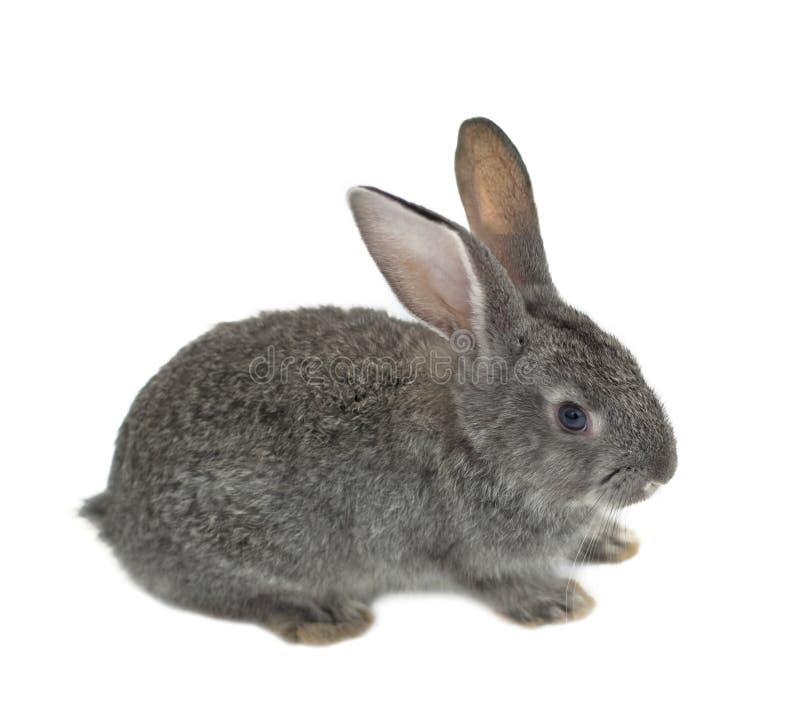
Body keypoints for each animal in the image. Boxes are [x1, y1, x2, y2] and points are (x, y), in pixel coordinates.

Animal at [82, 117, 676, 645]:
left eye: (631, 361)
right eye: (572, 416)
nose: (663, 474)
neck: (477, 442)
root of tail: (119, 510)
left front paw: (612, 540)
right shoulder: (461, 550)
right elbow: (494, 581)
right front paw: (555, 602)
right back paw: (324, 617)